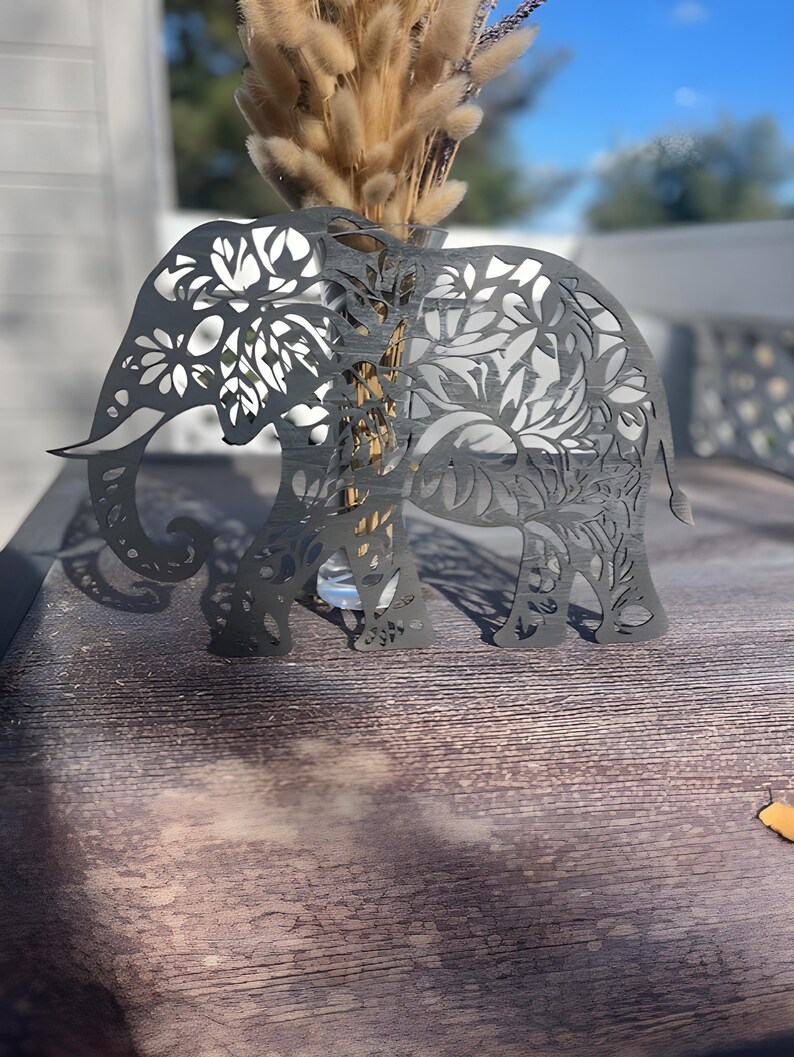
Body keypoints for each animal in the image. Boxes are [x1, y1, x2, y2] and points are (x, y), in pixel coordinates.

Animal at [55, 207, 692, 655]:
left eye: (194, 337)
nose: (186, 534)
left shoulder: (364, 402)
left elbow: (332, 518)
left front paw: (377, 644)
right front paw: (258, 649)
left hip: (601, 442)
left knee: (599, 536)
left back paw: (618, 638)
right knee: (558, 535)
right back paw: (531, 643)